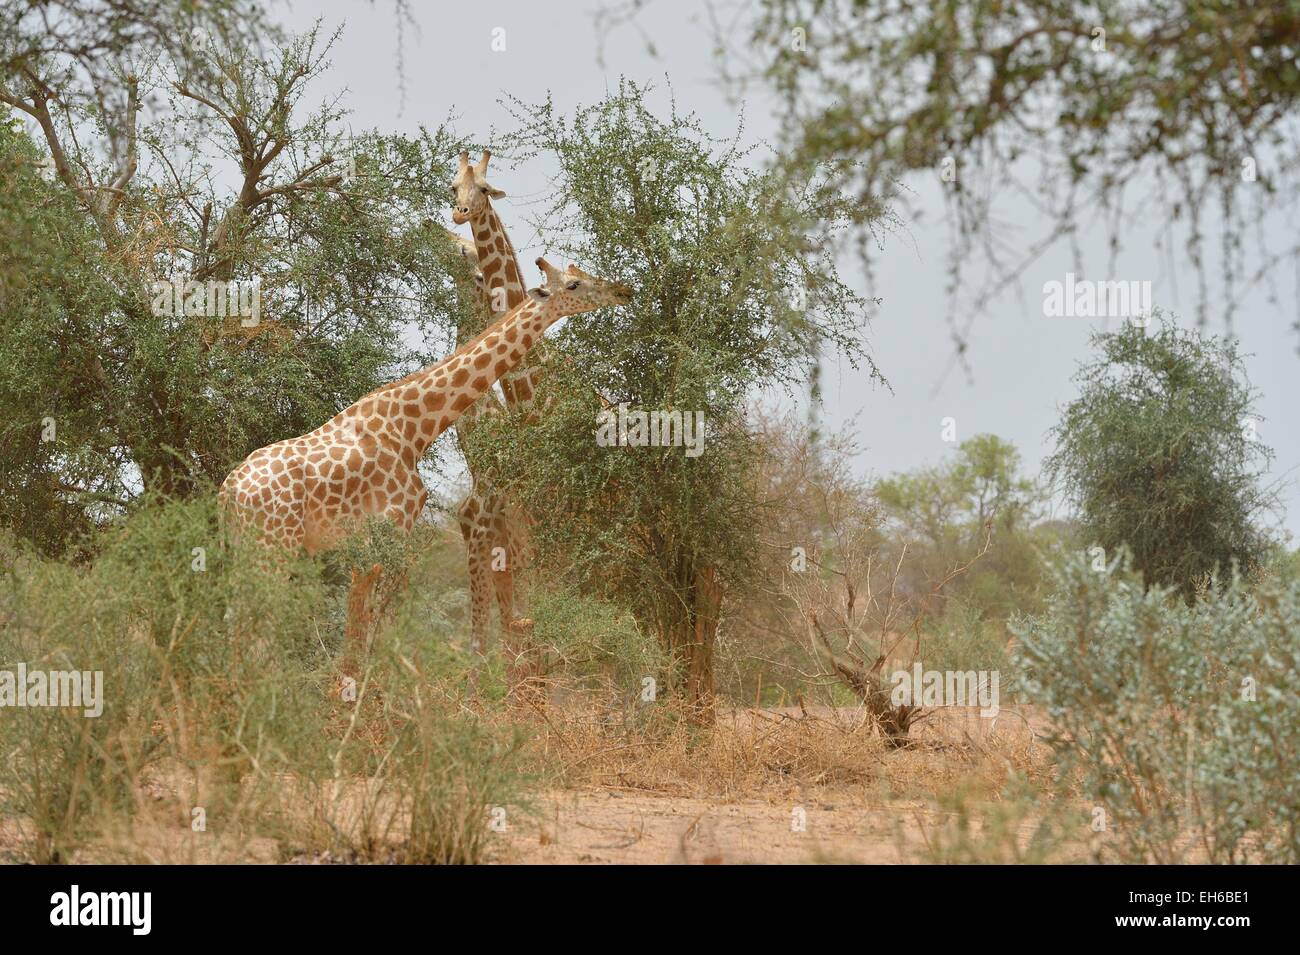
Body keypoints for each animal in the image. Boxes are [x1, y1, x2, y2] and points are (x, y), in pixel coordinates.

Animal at [219, 259, 633, 646]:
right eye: (574, 284)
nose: (623, 291)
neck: (414, 427)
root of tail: (228, 491)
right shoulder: (393, 526)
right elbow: (375, 625)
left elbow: (364, 623)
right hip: (274, 544)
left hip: (247, 546)